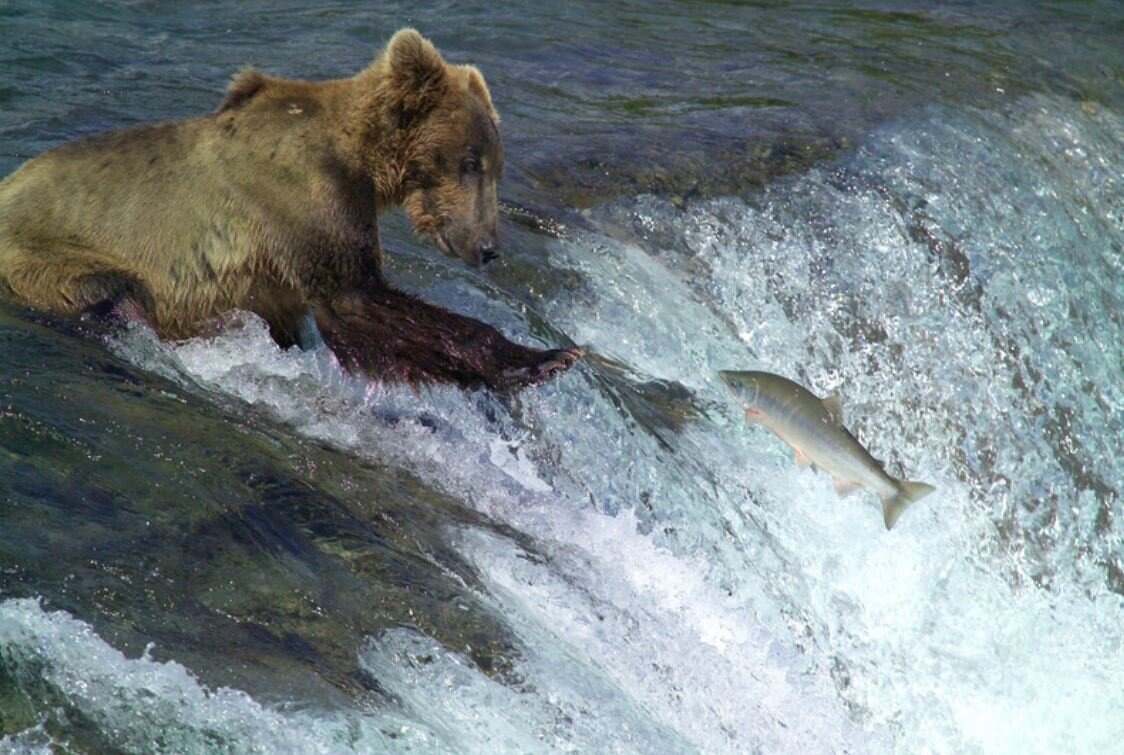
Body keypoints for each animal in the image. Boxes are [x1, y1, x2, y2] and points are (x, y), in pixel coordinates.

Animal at [0, 29, 580, 392]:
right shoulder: (302, 201)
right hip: (44, 254)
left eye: (494, 167)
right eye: (469, 162)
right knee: (111, 291)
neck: (361, 163)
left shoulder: (280, 267)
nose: (489, 247)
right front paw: (544, 358)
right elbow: (357, 300)